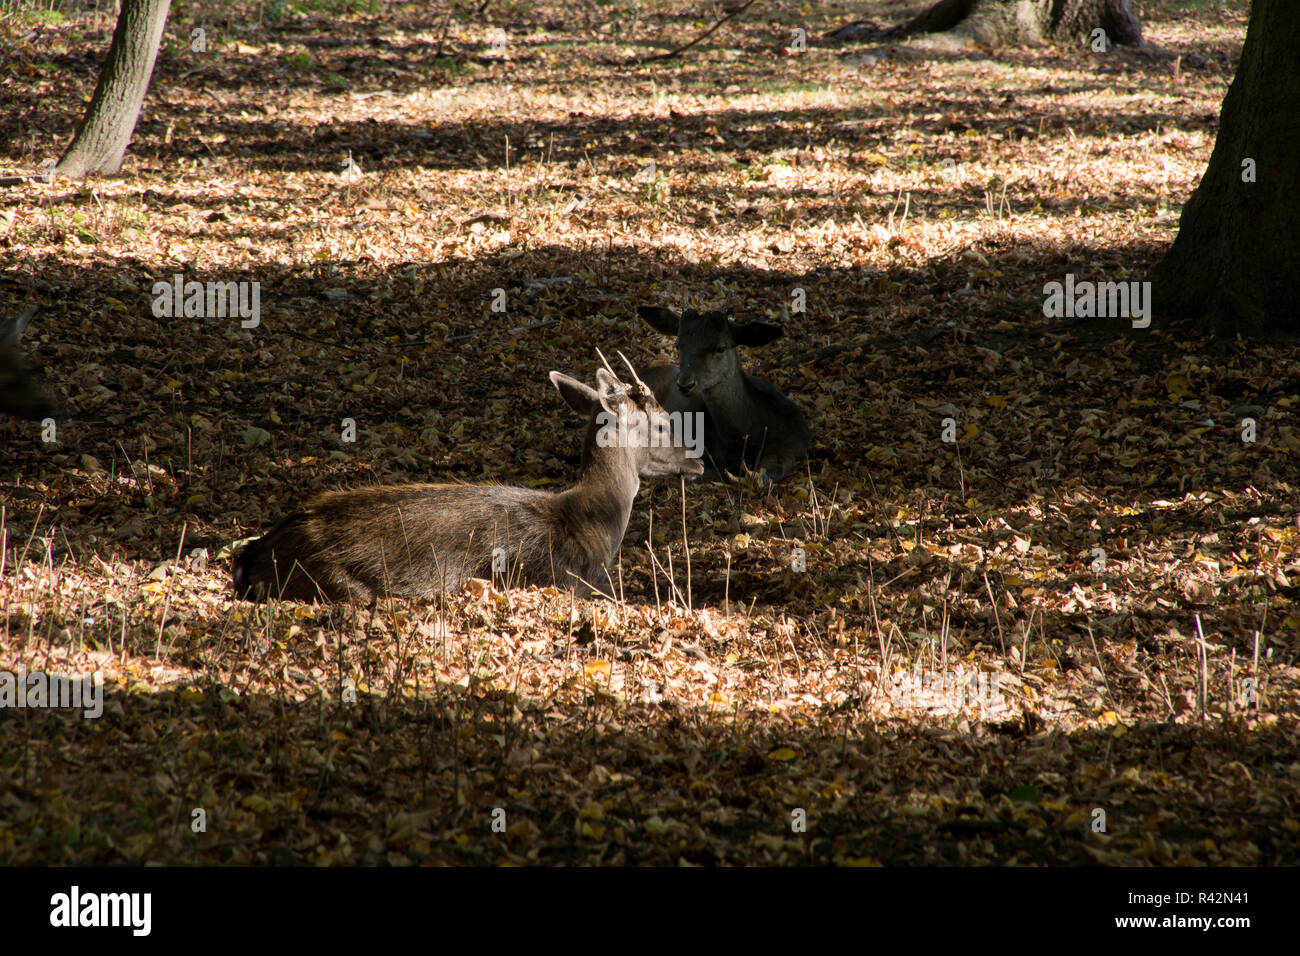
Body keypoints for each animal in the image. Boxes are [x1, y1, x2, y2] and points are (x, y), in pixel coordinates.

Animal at [232, 356, 704, 602]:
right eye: (662, 423)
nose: (697, 459)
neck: (593, 526)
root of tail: (254, 554)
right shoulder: (572, 581)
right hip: (339, 582)